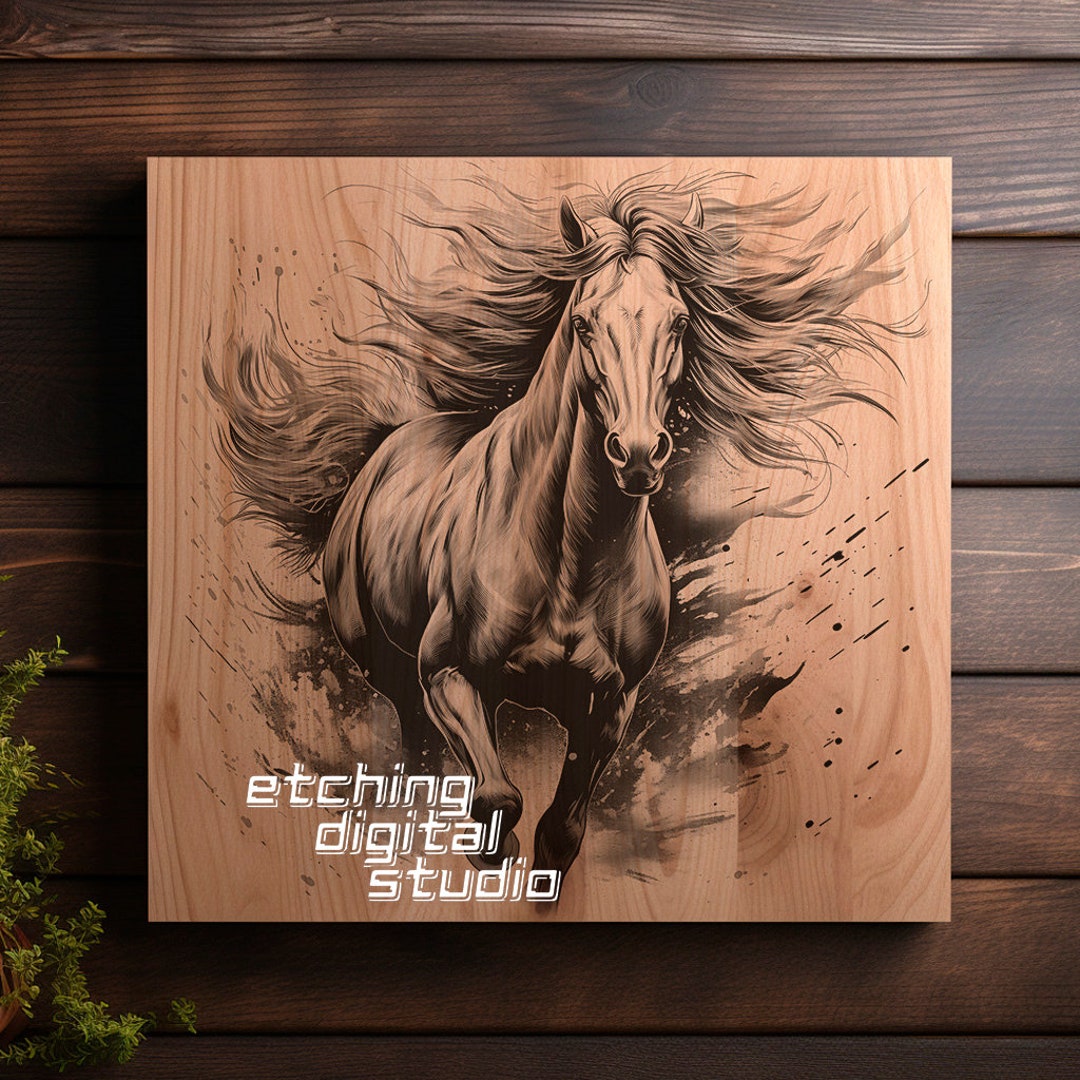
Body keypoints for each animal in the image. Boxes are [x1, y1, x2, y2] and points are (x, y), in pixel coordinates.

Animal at [206, 173, 910, 882]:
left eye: (679, 321)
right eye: (582, 323)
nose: (637, 453)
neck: (571, 563)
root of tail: (384, 449)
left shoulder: (610, 703)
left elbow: (564, 826)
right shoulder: (448, 675)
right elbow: (497, 799)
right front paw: (490, 857)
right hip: (391, 672)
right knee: (415, 746)